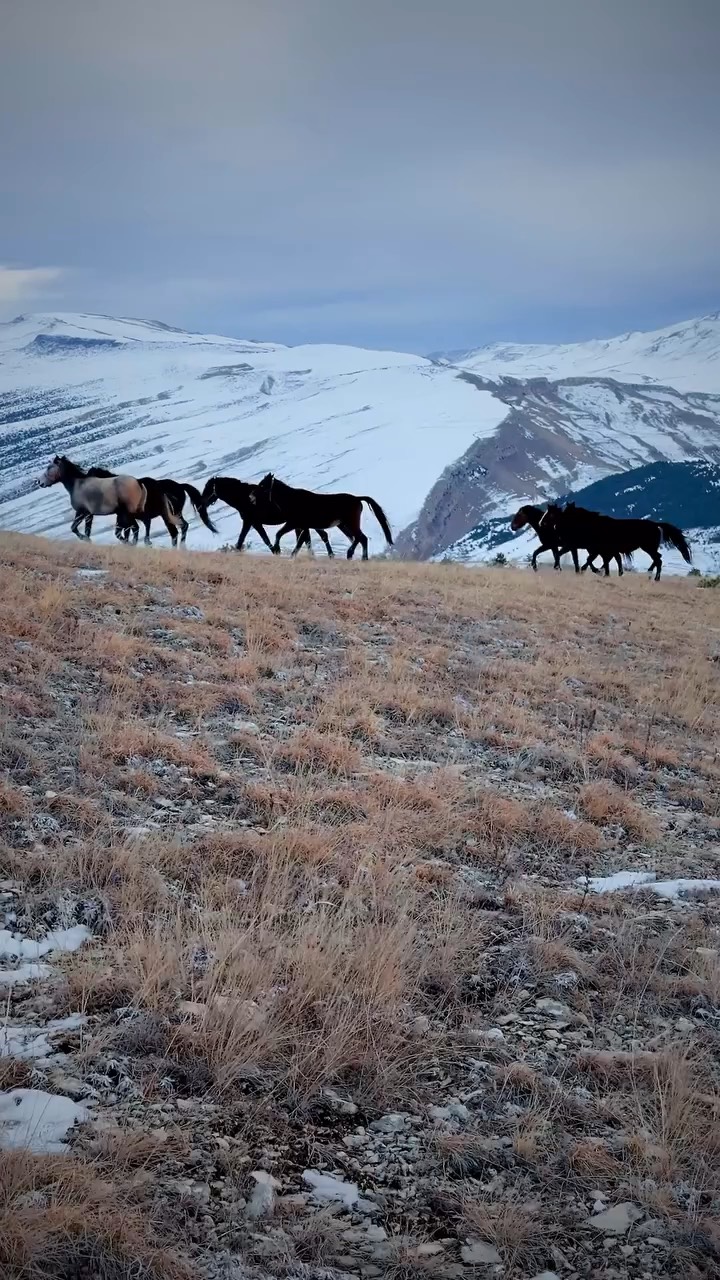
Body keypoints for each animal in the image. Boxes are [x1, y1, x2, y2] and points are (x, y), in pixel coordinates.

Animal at [83, 473, 215, 547]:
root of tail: (180, 485)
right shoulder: (127, 519)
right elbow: (126, 531)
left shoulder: (129, 518)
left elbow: (129, 531)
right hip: (174, 514)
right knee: (182, 527)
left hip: (169, 515)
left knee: (176, 531)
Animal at [198, 476, 327, 555]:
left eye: (208, 488)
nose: (200, 505)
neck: (243, 497)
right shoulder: (253, 523)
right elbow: (258, 539)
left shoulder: (250, 522)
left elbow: (247, 539)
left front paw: (276, 551)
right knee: (314, 537)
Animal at [254, 473, 392, 558]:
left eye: (263, 485)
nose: (252, 497)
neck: (292, 499)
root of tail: (357, 498)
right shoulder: (302, 526)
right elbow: (303, 541)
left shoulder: (294, 523)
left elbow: (281, 534)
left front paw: (278, 550)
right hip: (343, 524)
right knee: (360, 538)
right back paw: (362, 558)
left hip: (350, 522)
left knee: (360, 537)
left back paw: (351, 554)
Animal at [538, 501, 691, 583]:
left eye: (550, 514)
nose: (541, 523)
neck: (590, 525)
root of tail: (656, 525)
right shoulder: (593, 548)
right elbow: (600, 560)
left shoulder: (594, 548)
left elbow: (594, 560)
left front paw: (595, 571)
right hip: (648, 548)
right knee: (657, 559)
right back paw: (647, 574)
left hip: (648, 547)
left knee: (658, 560)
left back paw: (655, 578)